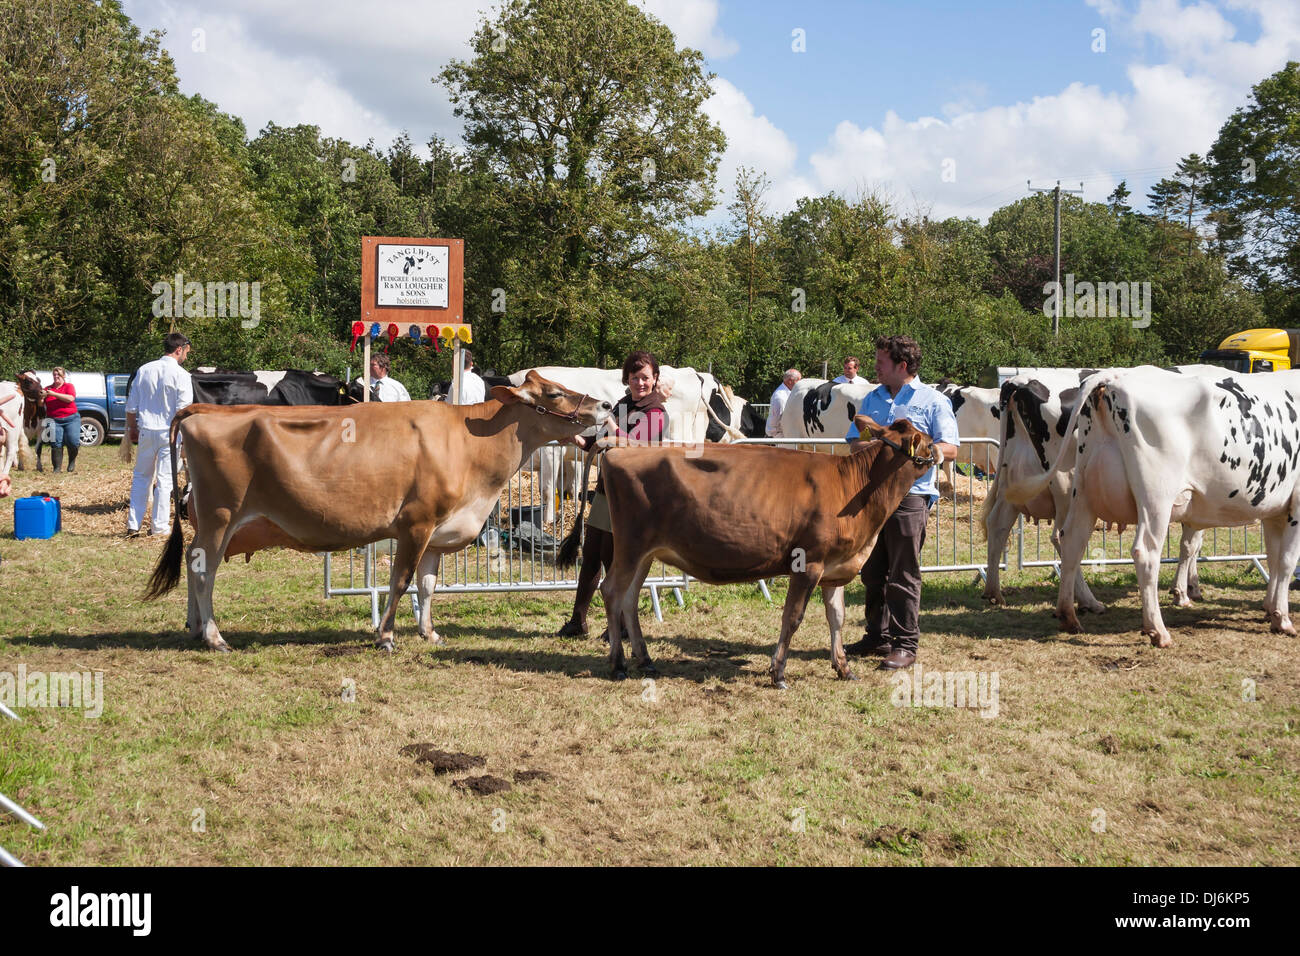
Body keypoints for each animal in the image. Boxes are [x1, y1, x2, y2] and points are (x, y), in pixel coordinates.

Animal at [145, 371, 611, 653]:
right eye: (554, 393)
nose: (606, 407)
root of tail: (202, 410)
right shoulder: (416, 523)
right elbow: (400, 581)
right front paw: (386, 636)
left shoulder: (437, 534)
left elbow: (428, 586)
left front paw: (429, 632)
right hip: (221, 515)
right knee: (203, 571)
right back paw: (214, 636)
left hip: (211, 521)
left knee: (194, 565)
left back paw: (194, 627)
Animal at [595, 416, 940, 686]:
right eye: (924, 440)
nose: (939, 448)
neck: (855, 487)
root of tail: (622, 448)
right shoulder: (808, 562)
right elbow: (793, 616)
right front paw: (778, 672)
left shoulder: (834, 568)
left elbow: (837, 617)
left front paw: (843, 668)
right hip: (631, 545)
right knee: (611, 590)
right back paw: (618, 664)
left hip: (645, 552)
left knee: (629, 598)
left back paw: (645, 660)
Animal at [1047, 367, 1300, 647]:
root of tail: (1113, 377)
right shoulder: (1297, 504)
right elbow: (1287, 561)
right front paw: (1282, 619)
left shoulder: (1274, 511)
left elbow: (1274, 558)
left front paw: (1269, 608)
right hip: (1157, 498)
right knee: (1146, 552)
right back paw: (1158, 631)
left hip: (1083, 491)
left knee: (1072, 542)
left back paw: (1068, 616)